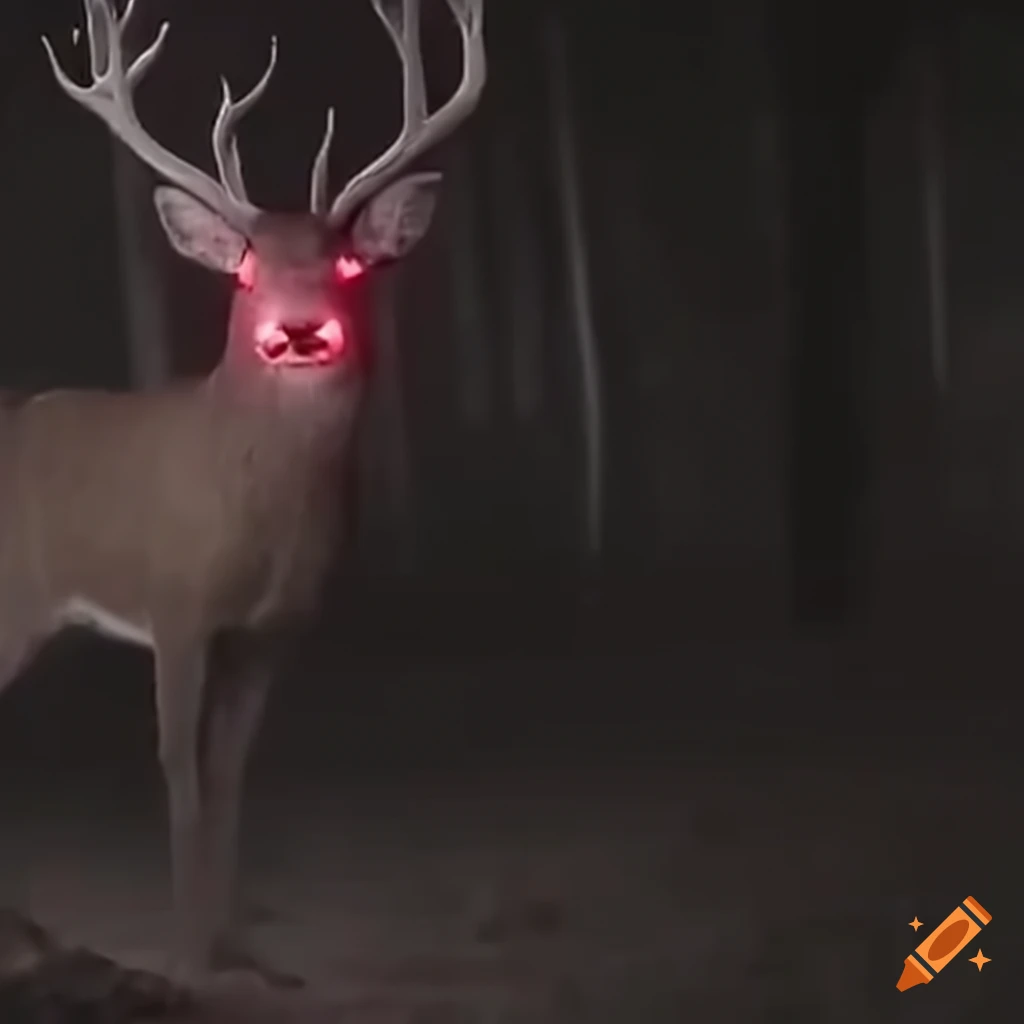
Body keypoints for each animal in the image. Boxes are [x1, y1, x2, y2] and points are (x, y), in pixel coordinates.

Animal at [0, 0, 485, 988]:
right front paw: (188, 955)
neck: (257, 516)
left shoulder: (275, 631)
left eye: (348, 267)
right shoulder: (176, 604)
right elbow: (176, 764)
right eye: (249, 271)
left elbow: (230, 774)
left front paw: (242, 950)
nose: (300, 331)